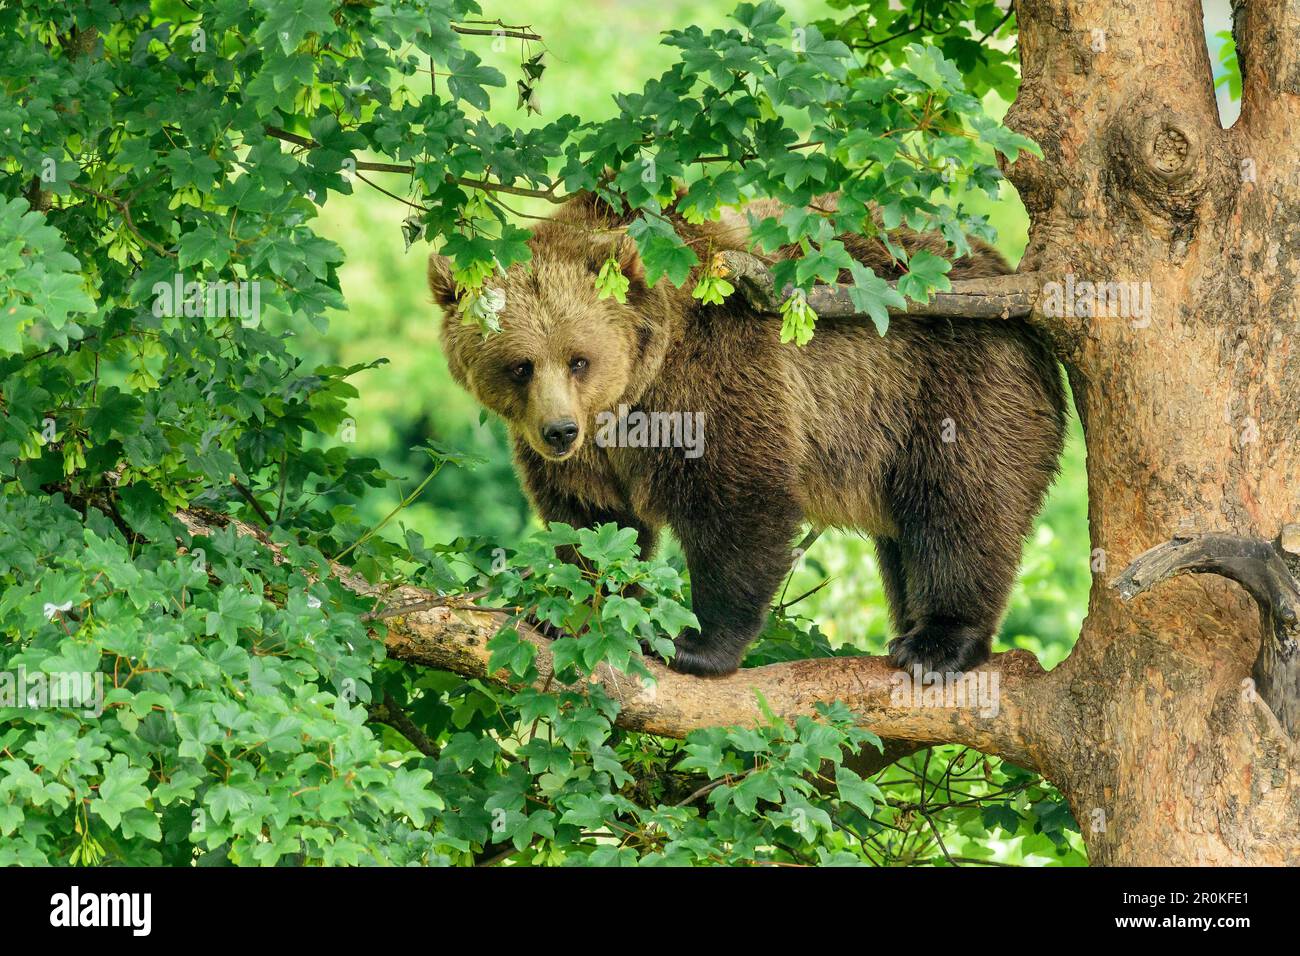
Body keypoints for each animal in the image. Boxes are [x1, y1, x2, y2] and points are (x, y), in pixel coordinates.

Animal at [429, 190, 1066, 677]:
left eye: (578, 359)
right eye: (520, 365)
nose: (559, 431)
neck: (633, 395)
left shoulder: (717, 372)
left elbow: (736, 503)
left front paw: (696, 645)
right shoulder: (591, 453)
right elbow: (593, 522)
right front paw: (566, 609)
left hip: (952, 381)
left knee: (961, 508)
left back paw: (934, 644)